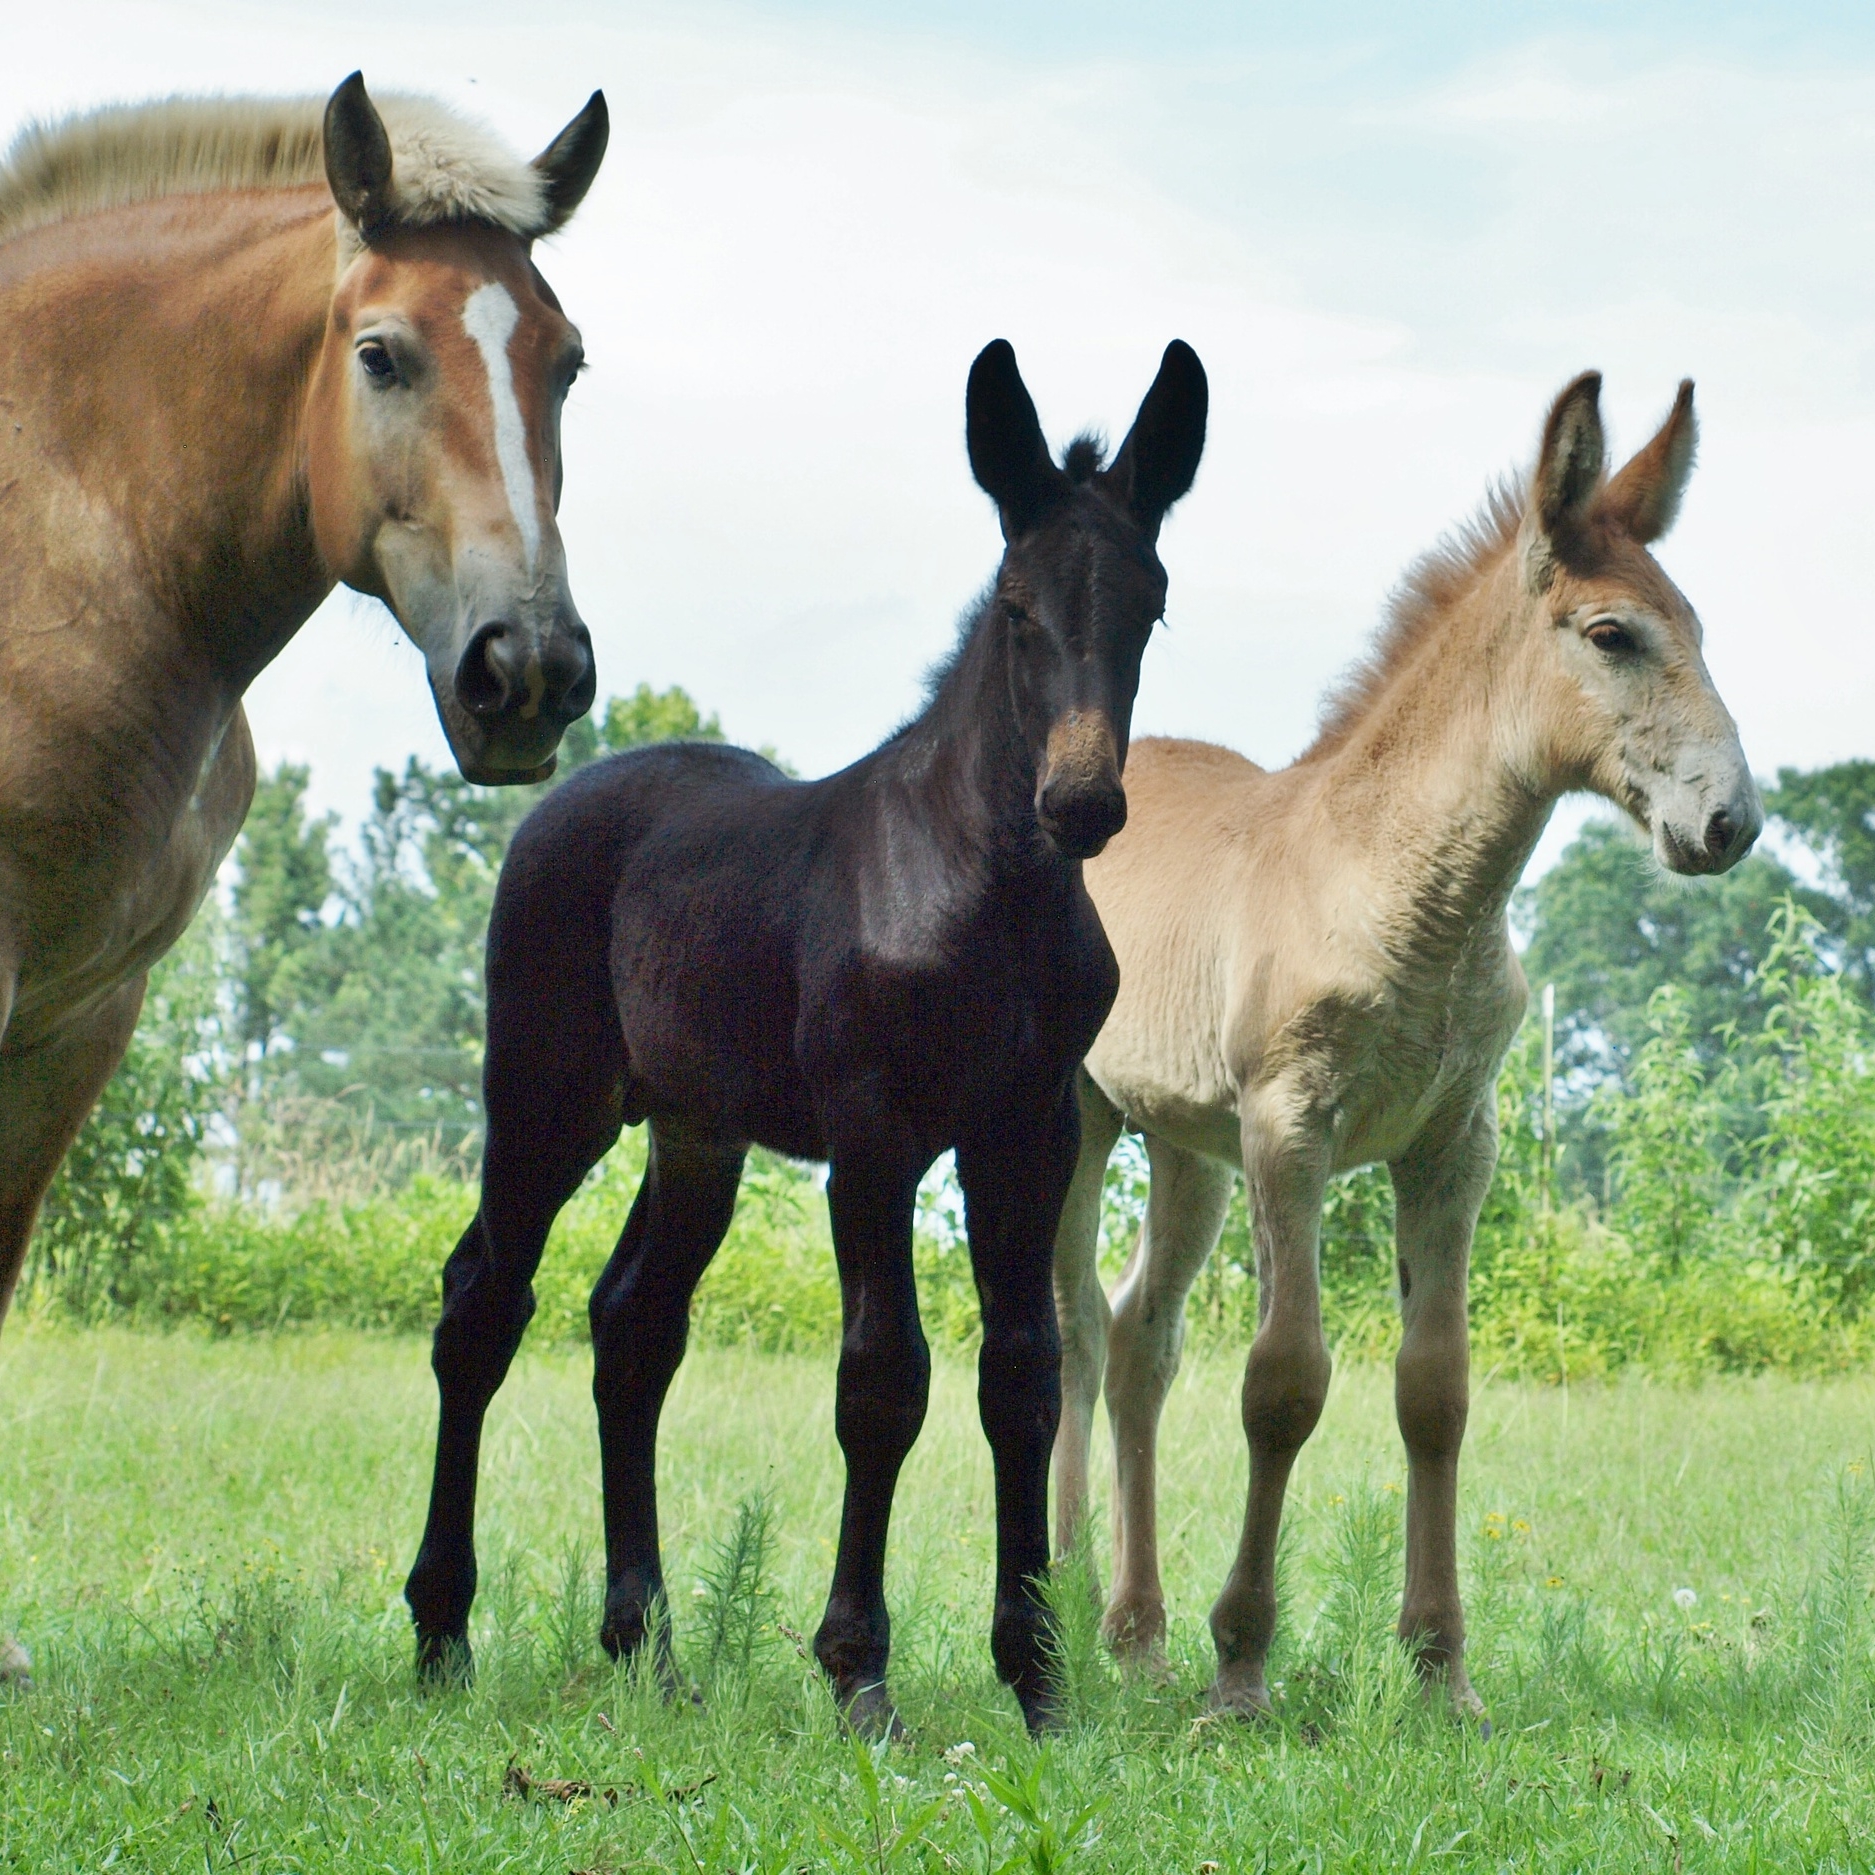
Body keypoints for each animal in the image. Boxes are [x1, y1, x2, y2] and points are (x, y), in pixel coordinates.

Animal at [403, 338, 1209, 1735]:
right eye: (1014, 607)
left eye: (1150, 604)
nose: (1082, 801)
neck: (985, 888)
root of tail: (561, 804)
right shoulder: (873, 1135)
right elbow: (884, 1378)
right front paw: (858, 1671)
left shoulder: (1025, 1131)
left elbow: (1025, 1376)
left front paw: (1039, 1680)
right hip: (547, 1098)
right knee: (482, 1306)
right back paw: (443, 1631)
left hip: (694, 1133)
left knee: (633, 1328)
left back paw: (647, 1645)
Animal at [1049, 372, 1761, 1728]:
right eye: (1611, 634)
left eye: (1700, 623)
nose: (1730, 821)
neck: (1397, 889)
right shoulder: (1291, 1131)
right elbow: (1283, 1381)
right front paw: (1242, 1667)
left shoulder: (1451, 1143)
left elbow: (1434, 1389)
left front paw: (1440, 1669)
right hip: (1080, 1123)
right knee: (1062, 1328)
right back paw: (1061, 1611)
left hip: (1182, 1152)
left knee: (1134, 1344)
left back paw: (1132, 1634)